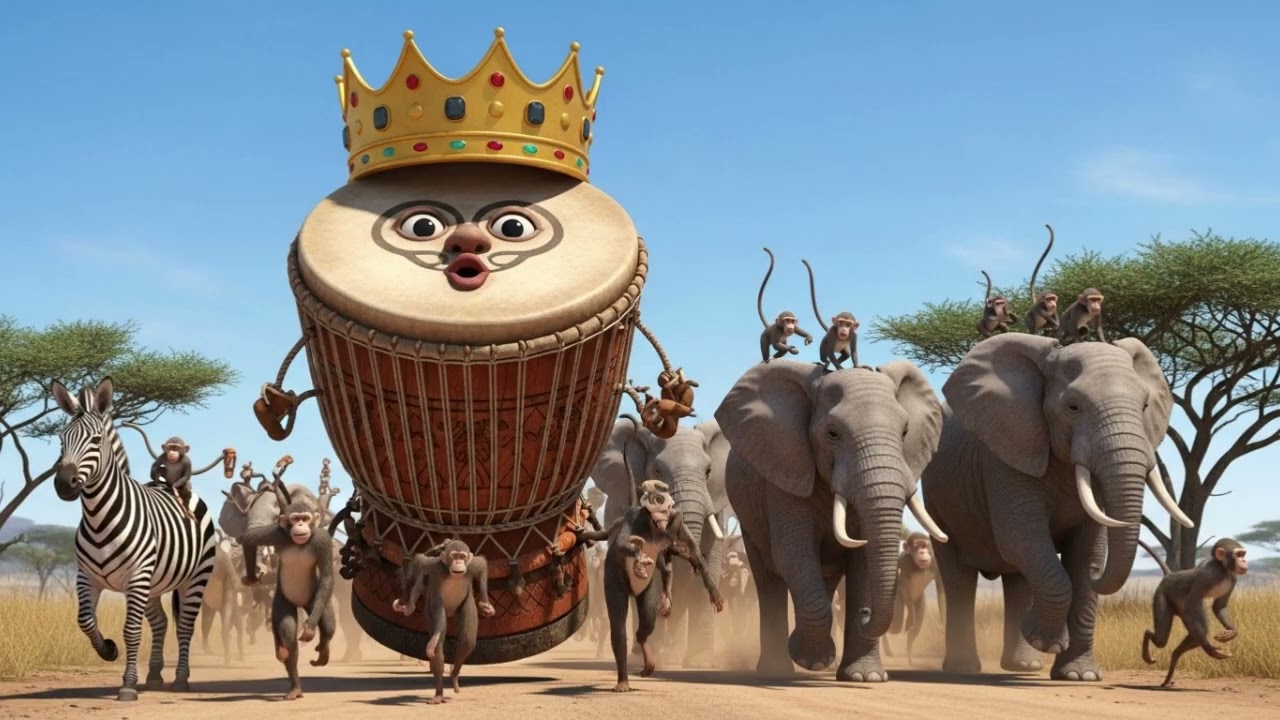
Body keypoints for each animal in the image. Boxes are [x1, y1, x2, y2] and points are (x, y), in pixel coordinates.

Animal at [715, 358, 947, 681]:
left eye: (905, 432)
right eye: (832, 433)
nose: (865, 615)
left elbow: (863, 560)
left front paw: (865, 677)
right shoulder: (787, 472)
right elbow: (793, 554)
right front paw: (808, 658)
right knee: (769, 579)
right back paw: (779, 669)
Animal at [920, 334, 1193, 681]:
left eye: (1144, 406)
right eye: (1072, 407)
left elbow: (1086, 551)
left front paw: (1080, 675)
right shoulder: (1007, 452)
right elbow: (1022, 537)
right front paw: (1047, 642)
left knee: (1019, 577)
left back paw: (1024, 665)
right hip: (937, 501)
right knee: (959, 577)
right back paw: (964, 668)